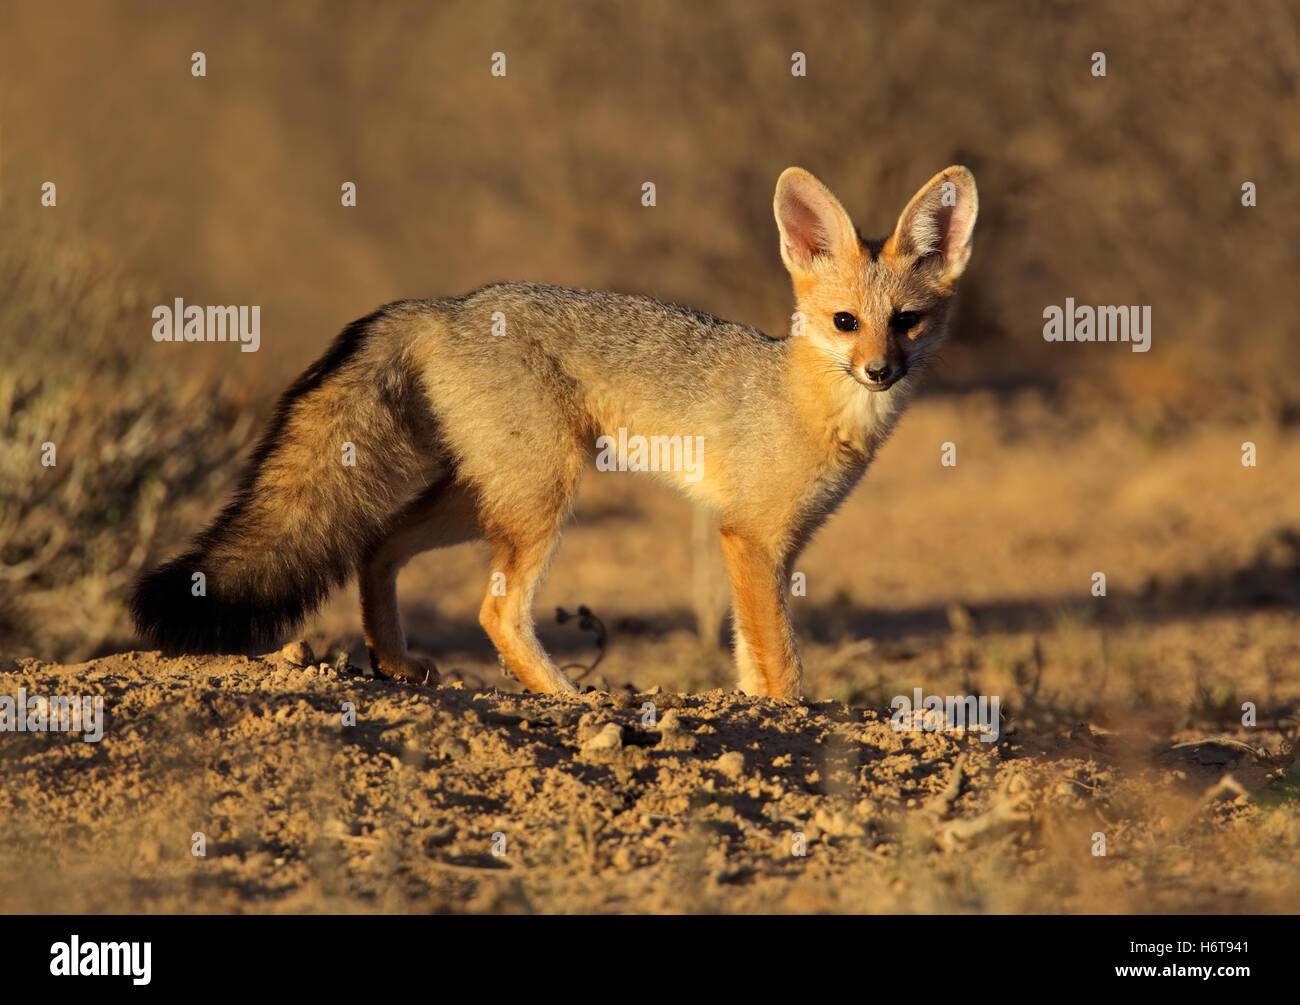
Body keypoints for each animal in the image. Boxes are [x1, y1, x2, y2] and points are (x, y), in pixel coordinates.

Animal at [130, 165, 978, 700]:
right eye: (846, 322)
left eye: (907, 322)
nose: (880, 371)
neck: (805, 400)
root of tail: (445, 304)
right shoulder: (751, 539)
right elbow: (781, 663)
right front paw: (788, 714)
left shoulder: (768, 548)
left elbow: (748, 654)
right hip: (542, 499)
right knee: (494, 612)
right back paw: (568, 698)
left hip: (483, 500)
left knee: (376, 547)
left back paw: (395, 663)